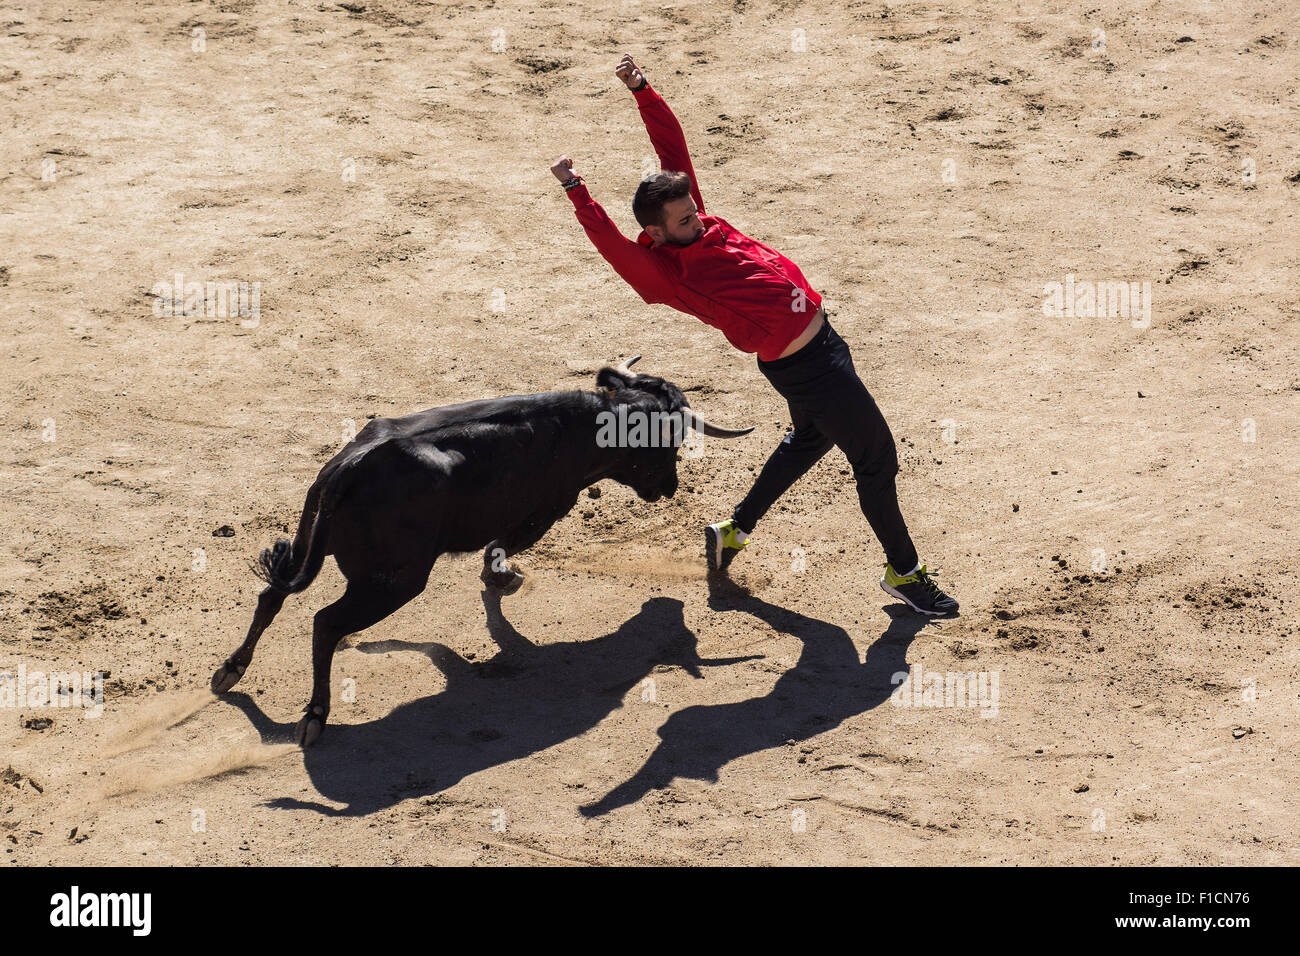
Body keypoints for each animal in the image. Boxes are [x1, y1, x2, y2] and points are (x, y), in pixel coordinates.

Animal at [210, 357, 754, 746]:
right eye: (669, 440)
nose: (669, 488)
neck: (589, 425)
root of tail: (352, 466)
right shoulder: (546, 509)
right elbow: (501, 548)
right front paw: (503, 579)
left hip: (312, 545)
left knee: (272, 595)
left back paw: (231, 671)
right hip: (396, 581)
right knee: (325, 622)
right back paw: (316, 716)